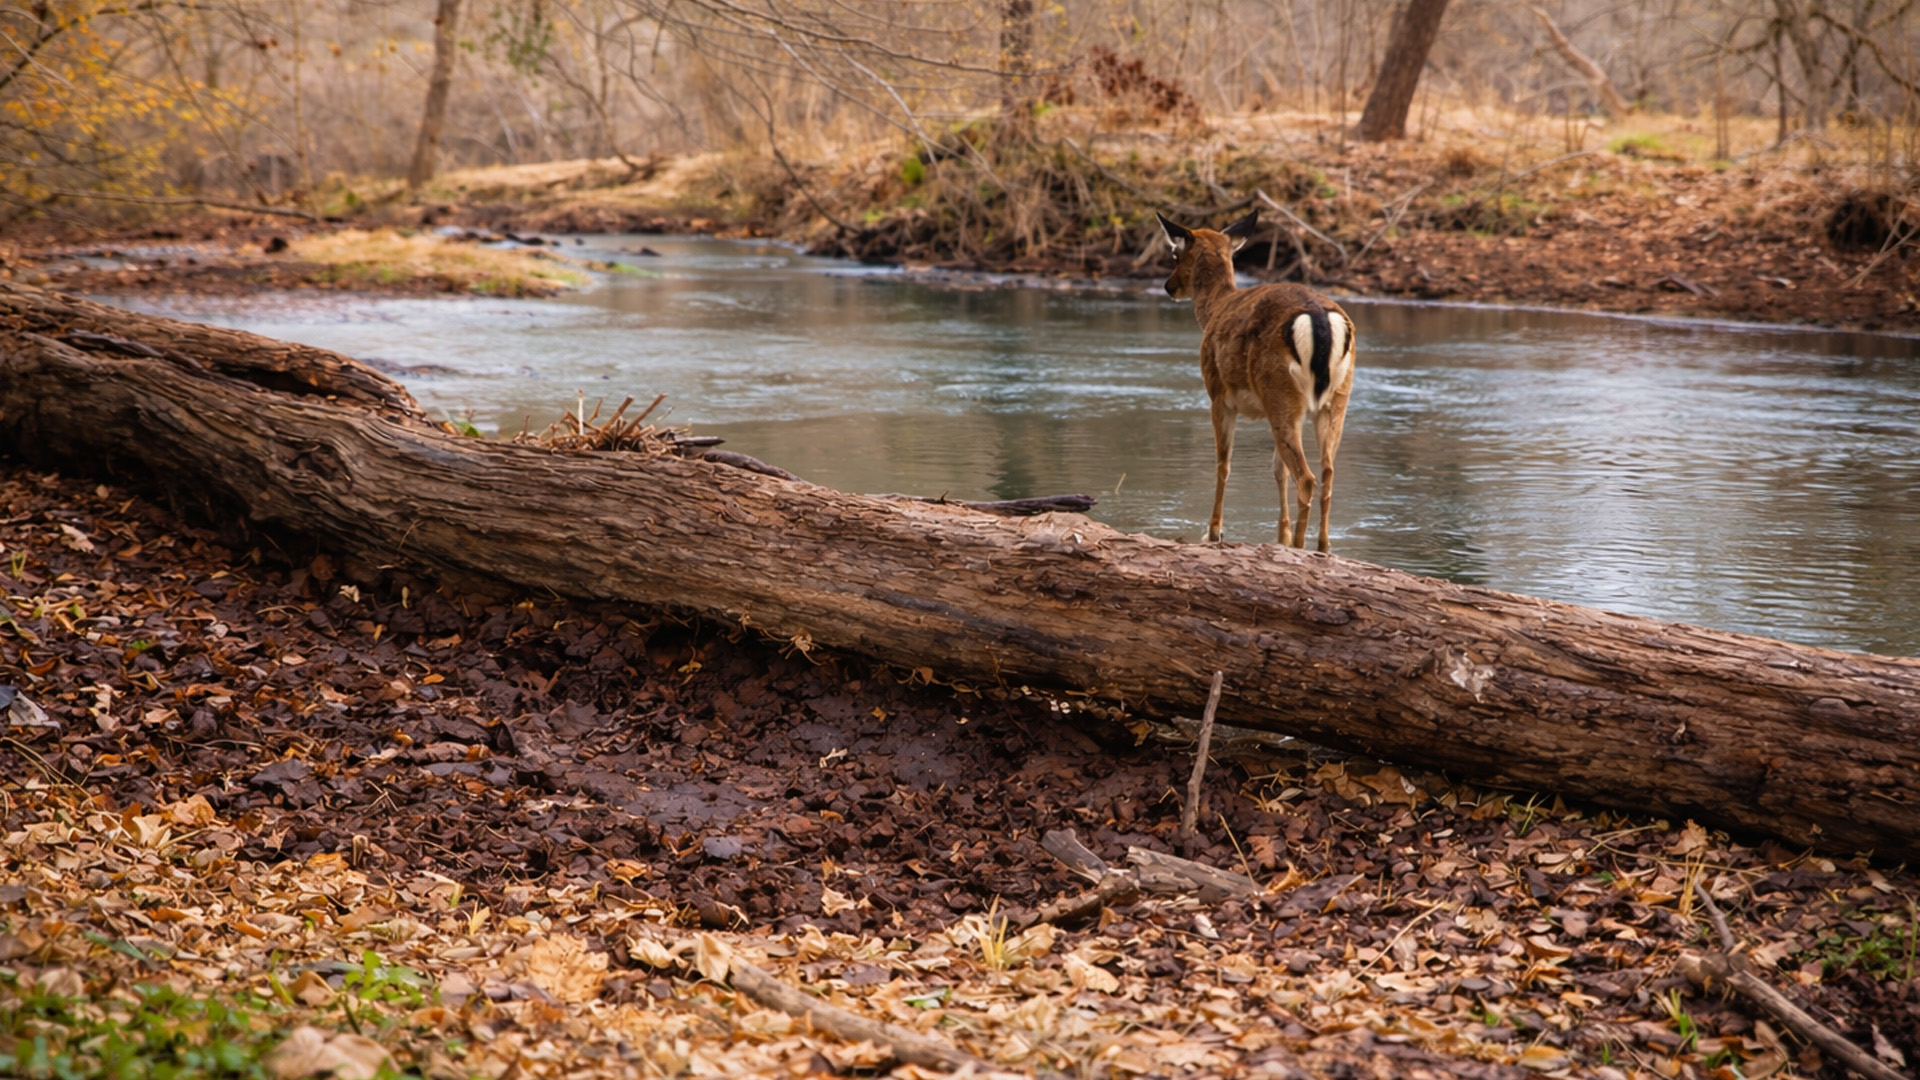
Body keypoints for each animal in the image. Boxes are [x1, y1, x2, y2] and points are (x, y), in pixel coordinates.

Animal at [1157, 208, 1357, 552]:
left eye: (1174, 253)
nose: (1169, 286)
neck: (1214, 310)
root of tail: (1320, 317)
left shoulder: (1218, 394)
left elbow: (1223, 463)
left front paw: (1214, 531)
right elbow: (1277, 470)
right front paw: (1281, 534)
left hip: (1279, 391)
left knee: (1307, 477)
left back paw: (1300, 548)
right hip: (1333, 399)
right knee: (1327, 471)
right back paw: (1322, 547)